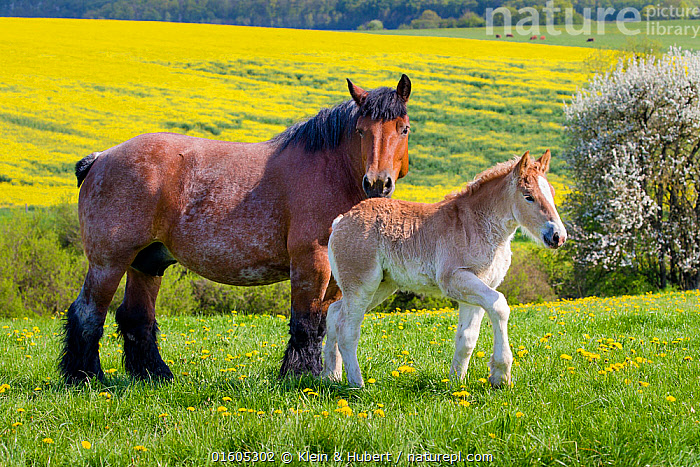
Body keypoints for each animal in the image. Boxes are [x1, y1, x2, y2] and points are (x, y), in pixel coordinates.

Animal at [60, 75, 412, 384]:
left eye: (403, 128)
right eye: (360, 131)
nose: (377, 183)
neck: (331, 171)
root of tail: (100, 158)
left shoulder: (336, 276)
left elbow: (328, 324)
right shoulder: (310, 263)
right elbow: (306, 324)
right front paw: (298, 376)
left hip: (147, 263)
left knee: (136, 318)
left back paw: (154, 375)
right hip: (108, 263)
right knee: (88, 313)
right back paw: (84, 376)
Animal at [322, 150, 566, 388]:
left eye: (552, 193)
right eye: (528, 196)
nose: (558, 236)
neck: (478, 225)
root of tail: (341, 220)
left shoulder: (478, 288)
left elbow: (467, 337)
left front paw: (456, 383)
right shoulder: (456, 280)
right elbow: (500, 307)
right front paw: (500, 375)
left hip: (381, 286)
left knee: (334, 313)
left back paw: (331, 376)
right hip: (362, 285)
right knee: (347, 328)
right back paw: (357, 384)